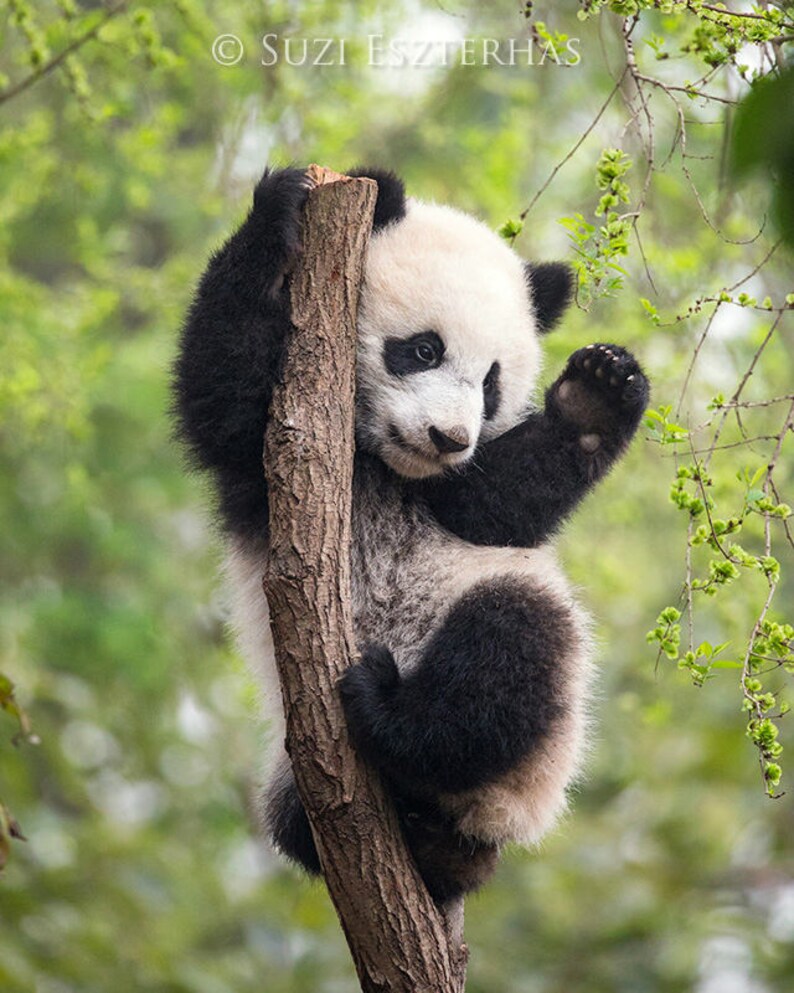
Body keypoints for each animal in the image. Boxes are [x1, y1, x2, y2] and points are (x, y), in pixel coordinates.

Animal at [173, 166, 649, 903]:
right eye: (424, 349)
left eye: (490, 384)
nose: (448, 438)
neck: (383, 462)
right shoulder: (273, 452)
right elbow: (225, 395)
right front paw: (279, 206)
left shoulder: (457, 494)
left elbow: (496, 506)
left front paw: (596, 396)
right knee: (292, 816)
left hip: (532, 724)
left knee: (509, 654)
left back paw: (391, 722)